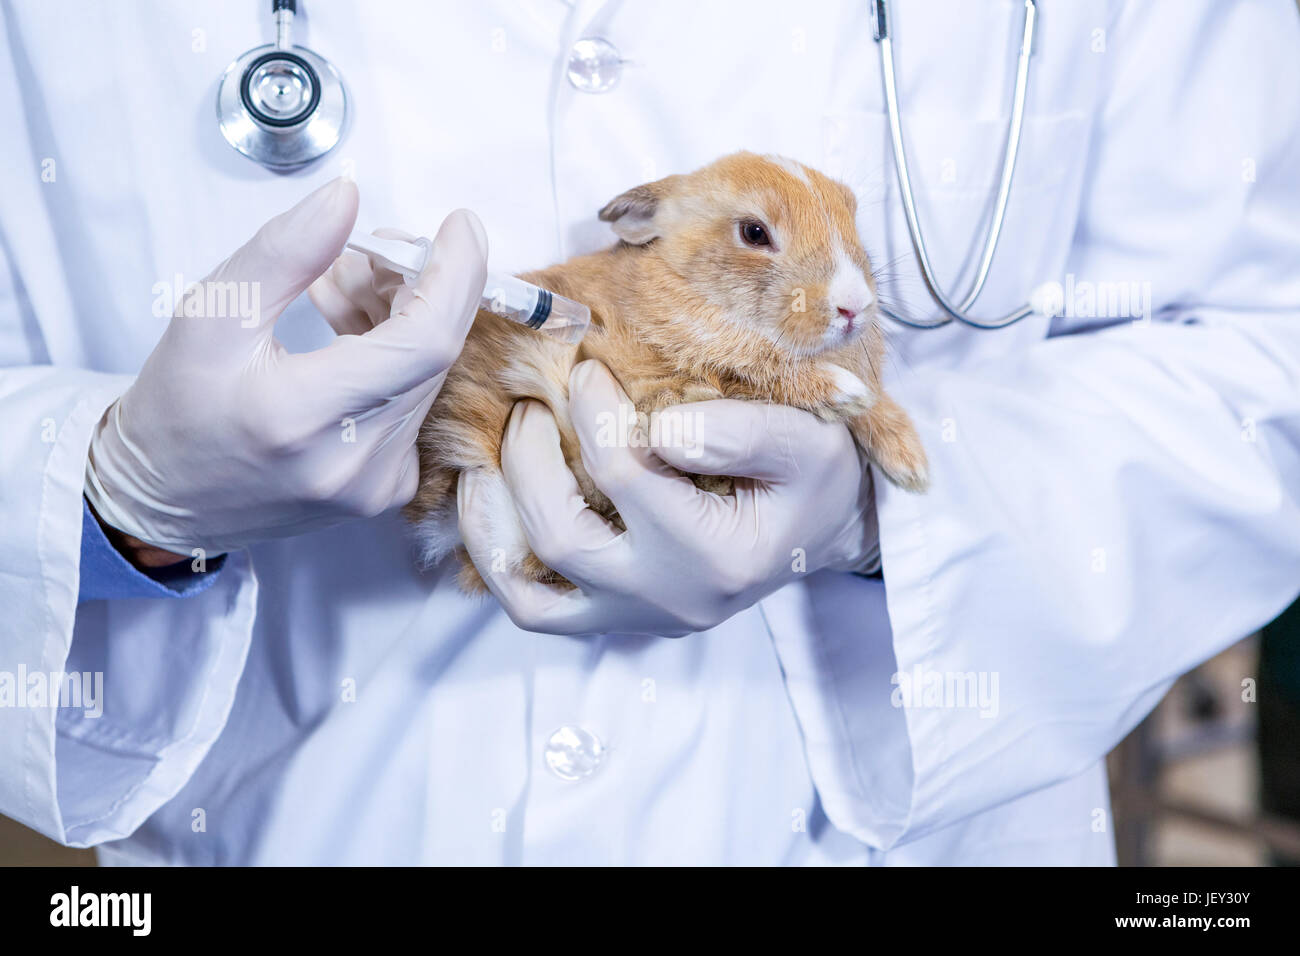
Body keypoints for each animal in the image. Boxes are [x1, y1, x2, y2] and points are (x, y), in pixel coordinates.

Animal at [399, 151, 928, 593]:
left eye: (852, 219)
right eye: (754, 233)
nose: (854, 306)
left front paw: (910, 467)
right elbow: (756, 377)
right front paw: (844, 393)